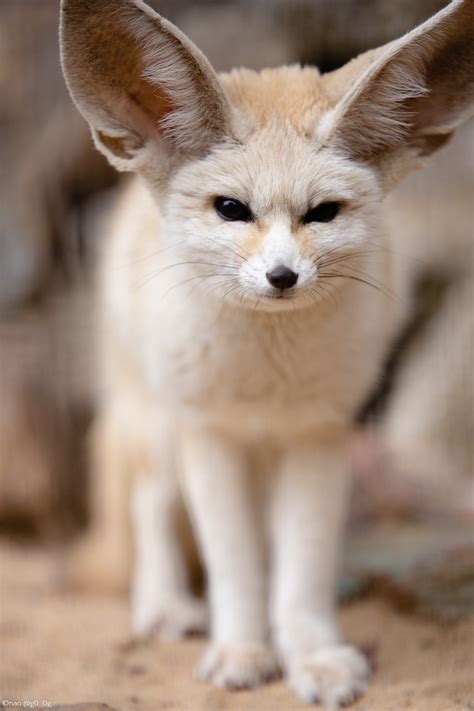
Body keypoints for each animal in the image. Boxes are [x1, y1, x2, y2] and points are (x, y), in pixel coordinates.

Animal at [60, 0, 473, 706]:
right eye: (231, 209)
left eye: (323, 213)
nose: (283, 277)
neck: (268, 376)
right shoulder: (211, 435)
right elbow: (232, 562)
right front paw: (243, 652)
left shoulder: (319, 433)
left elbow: (301, 564)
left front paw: (314, 656)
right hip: (156, 426)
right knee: (149, 505)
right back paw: (164, 604)